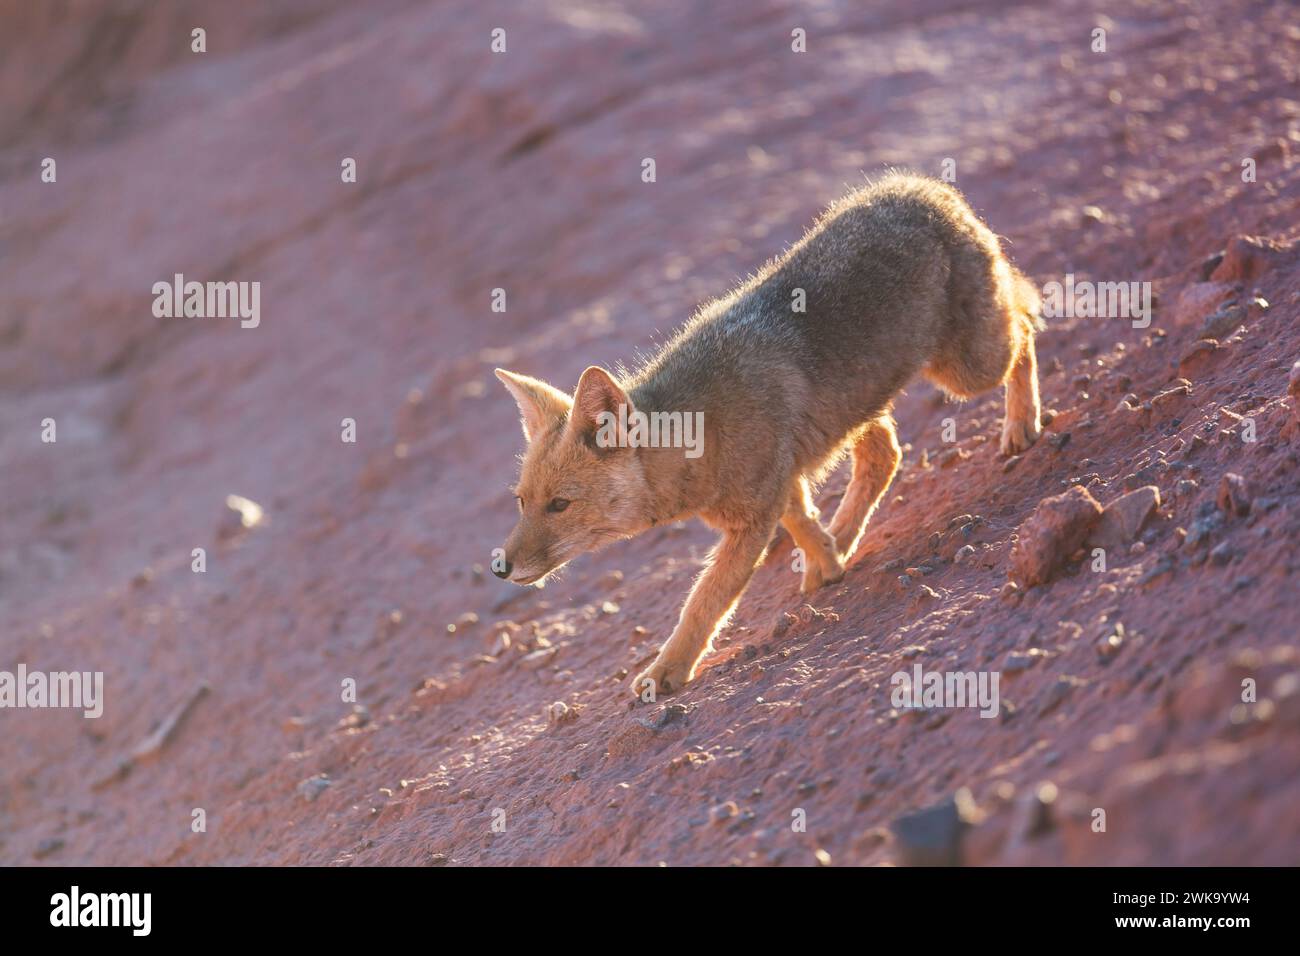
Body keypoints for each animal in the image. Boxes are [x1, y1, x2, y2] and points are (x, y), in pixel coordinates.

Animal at [493, 172, 1042, 697]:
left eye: (559, 505)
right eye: (521, 502)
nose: (500, 567)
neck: (700, 434)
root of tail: (926, 186)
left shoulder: (753, 518)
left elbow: (703, 602)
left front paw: (667, 670)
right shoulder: (779, 480)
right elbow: (800, 519)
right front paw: (827, 559)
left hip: (969, 370)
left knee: (1026, 322)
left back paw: (1022, 423)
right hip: (864, 406)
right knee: (886, 454)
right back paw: (846, 537)